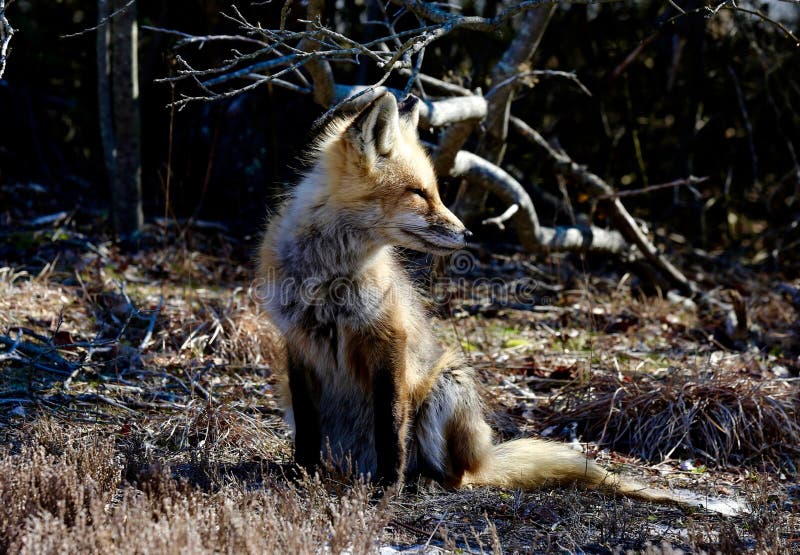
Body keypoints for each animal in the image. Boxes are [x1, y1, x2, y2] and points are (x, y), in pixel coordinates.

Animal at [257, 92, 680, 503]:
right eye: (418, 193)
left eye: (434, 192)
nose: (468, 234)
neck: (329, 276)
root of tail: (484, 458)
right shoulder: (296, 342)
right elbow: (309, 428)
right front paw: (301, 473)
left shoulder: (389, 339)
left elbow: (390, 426)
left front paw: (387, 487)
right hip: (295, 398)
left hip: (448, 383)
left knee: (453, 475)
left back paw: (420, 481)